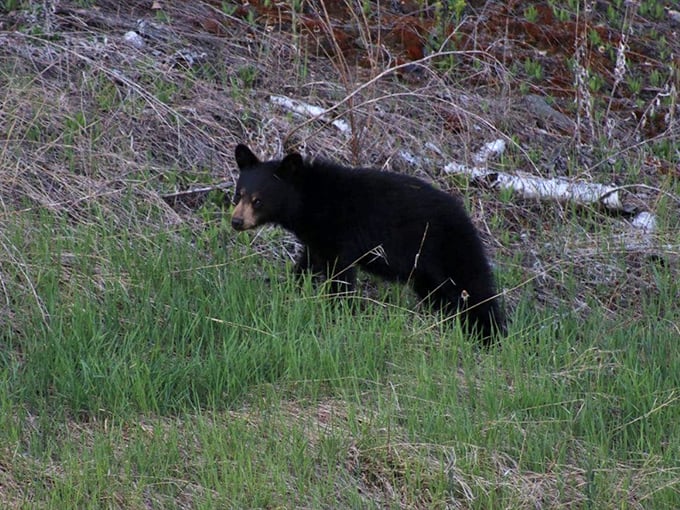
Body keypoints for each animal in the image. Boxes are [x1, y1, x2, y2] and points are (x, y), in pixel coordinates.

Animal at [231, 144, 505, 342]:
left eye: (258, 200)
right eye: (239, 194)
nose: (236, 221)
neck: (311, 201)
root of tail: (467, 218)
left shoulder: (342, 234)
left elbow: (341, 276)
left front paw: (339, 311)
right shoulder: (317, 238)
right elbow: (307, 263)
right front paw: (289, 288)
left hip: (450, 249)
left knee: (475, 288)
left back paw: (489, 336)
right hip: (425, 273)